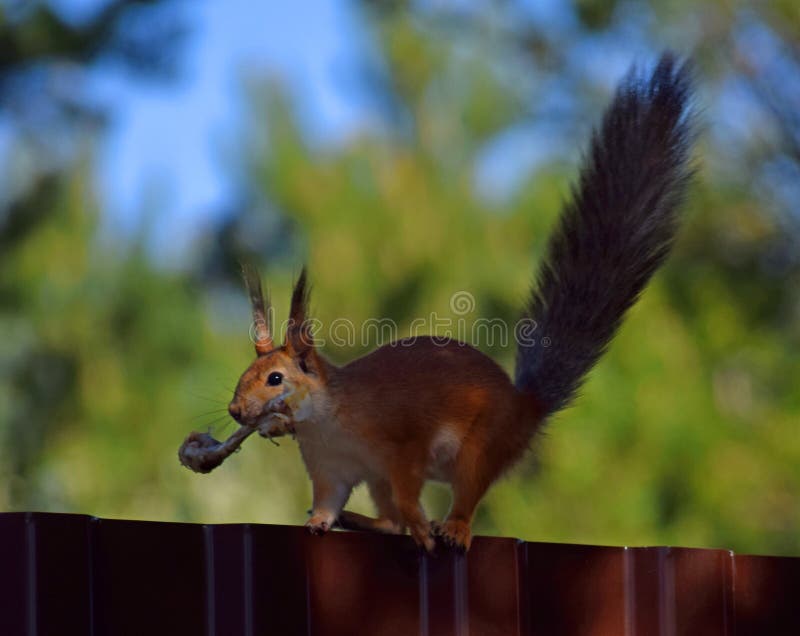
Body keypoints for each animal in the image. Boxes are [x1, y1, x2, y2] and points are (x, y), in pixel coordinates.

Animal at [222, 53, 696, 552]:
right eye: (247, 373)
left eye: (275, 378)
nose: (234, 411)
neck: (327, 422)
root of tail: (524, 409)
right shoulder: (331, 468)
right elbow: (329, 499)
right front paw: (318, 522)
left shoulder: (402, 446)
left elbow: (409, 492)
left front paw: (422, 526)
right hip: (380, 480)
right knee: (388, 519)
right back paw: (363, 520)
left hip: (479, 449)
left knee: (462, 494)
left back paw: (451, 528)